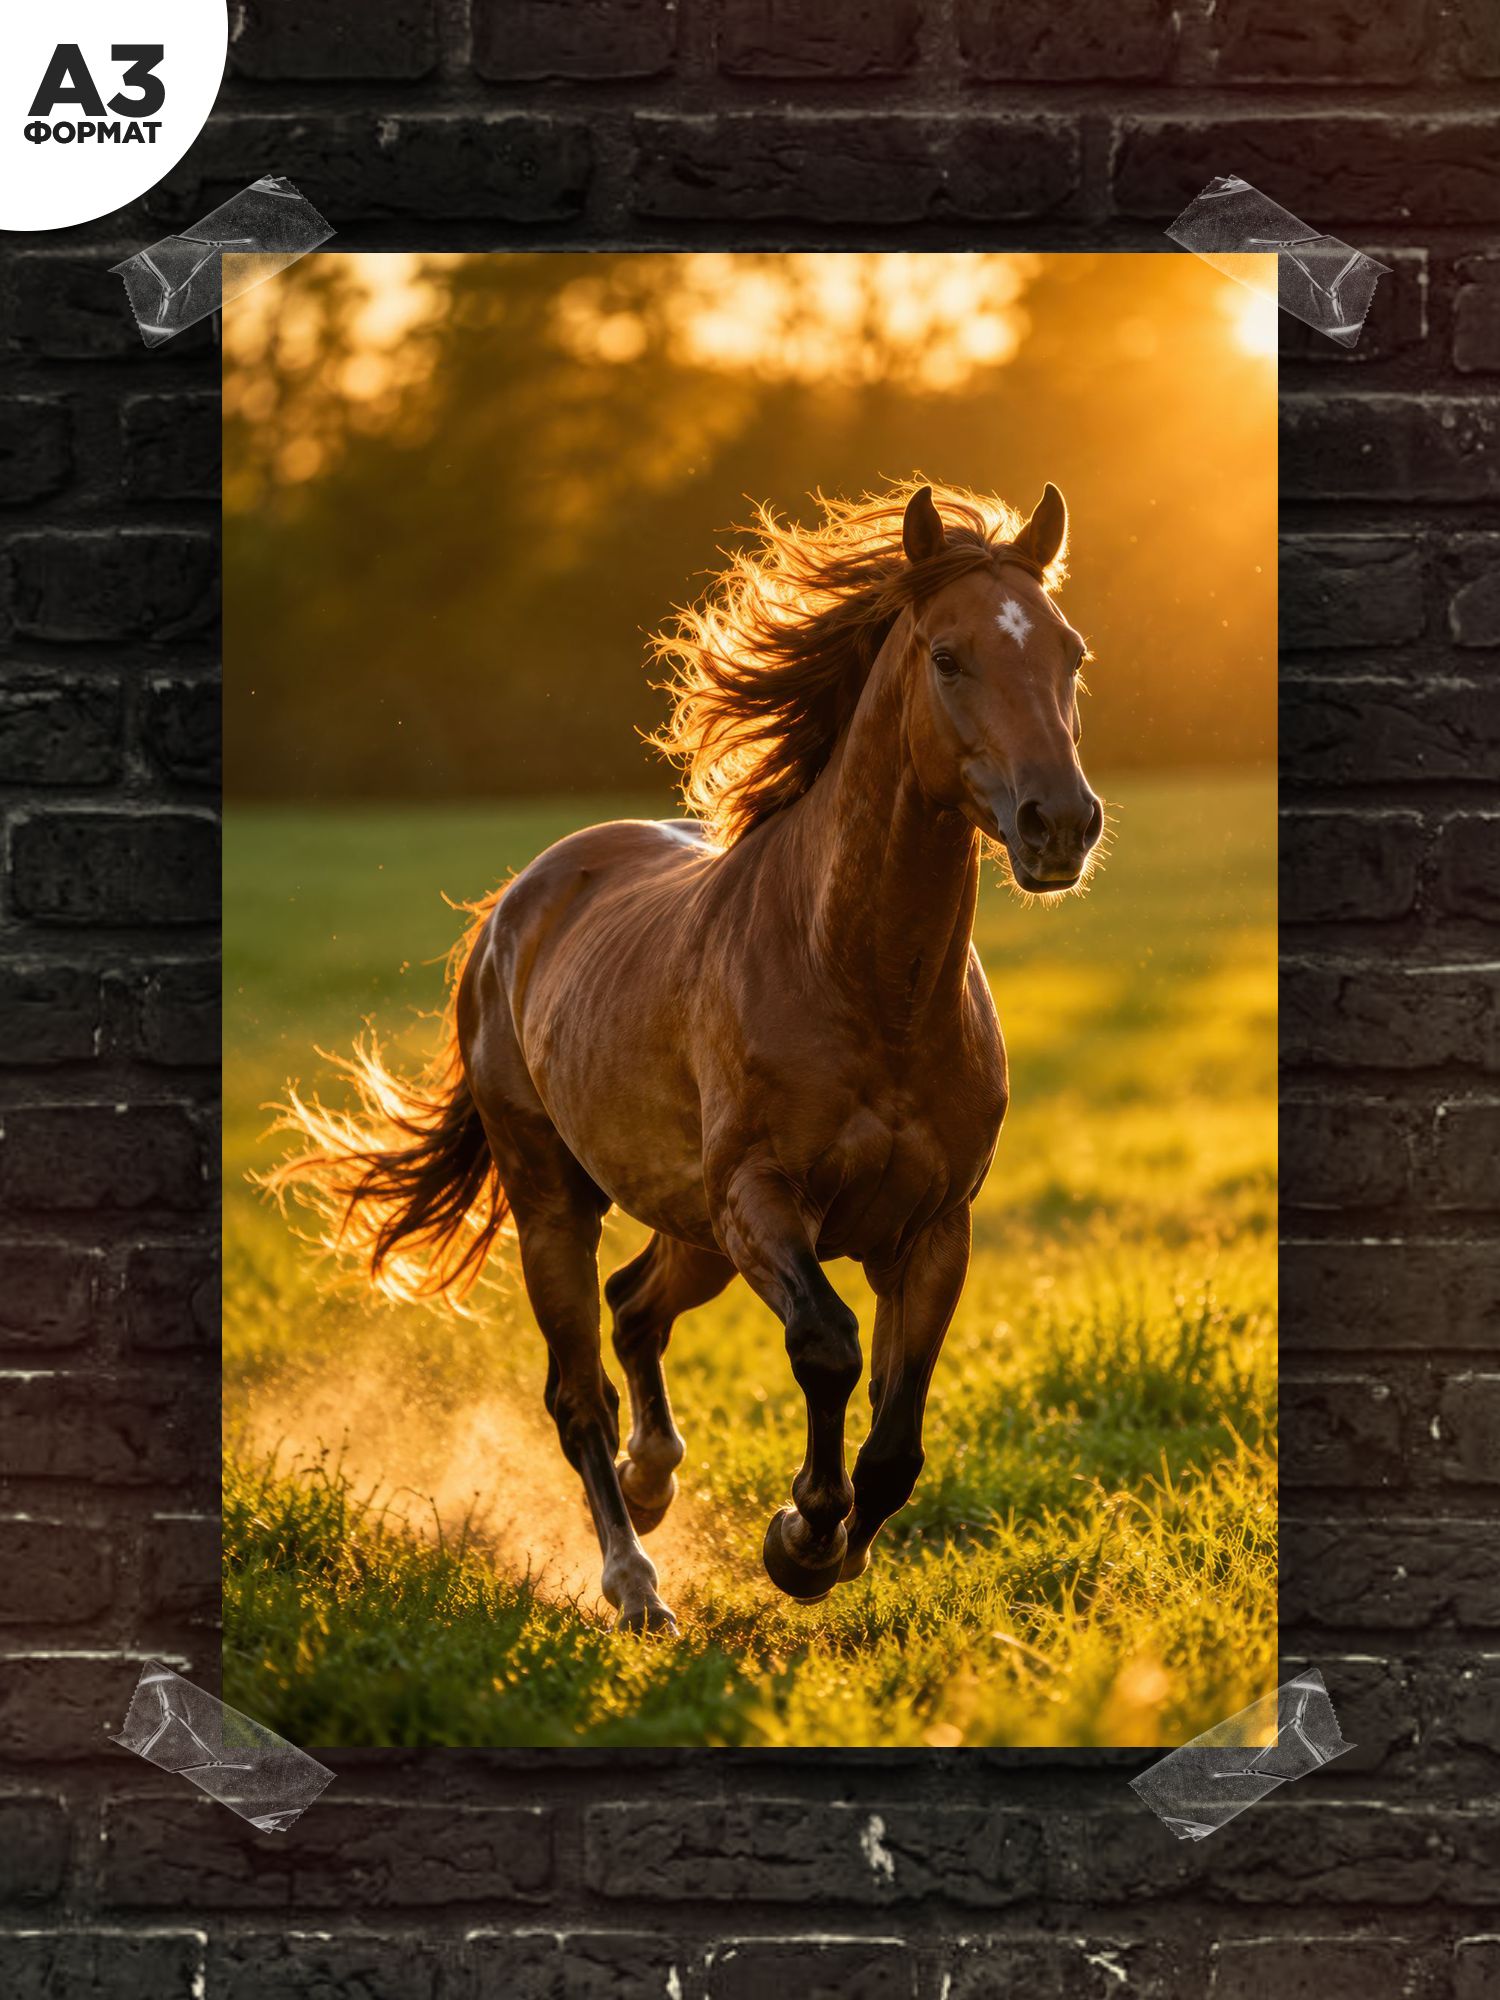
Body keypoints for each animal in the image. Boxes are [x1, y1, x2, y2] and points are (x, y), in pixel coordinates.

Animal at [270, 479, 1104, 1633]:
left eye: (1070, 651)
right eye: (948, 655)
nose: (1059, 824)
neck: (863, 983)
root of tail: (513, 906)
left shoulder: (936, 1228)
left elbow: (897, 1441)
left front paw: (826, 1548)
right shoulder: (762, 1202)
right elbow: (829, 1344)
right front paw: (802, 1534)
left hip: (694, 1229)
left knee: (635, 1307)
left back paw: (652, 1479)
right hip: (560, 1204)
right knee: (577, 1385)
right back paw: (635, 1584)